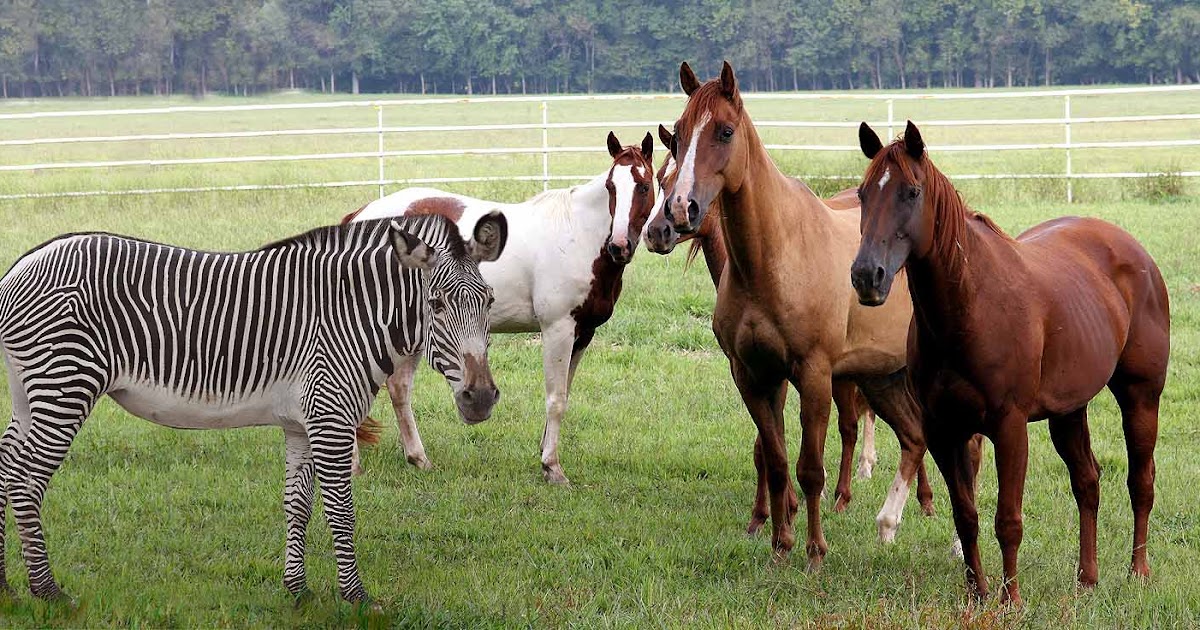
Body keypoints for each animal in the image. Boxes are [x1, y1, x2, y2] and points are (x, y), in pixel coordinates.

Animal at [347, 131, 657, 485]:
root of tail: (360, 217)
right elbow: (555, 399)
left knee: (399, 388)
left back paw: (418, 458)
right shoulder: (558, 329)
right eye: (611, 186)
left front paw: (544, 452)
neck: (579, 233)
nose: (619, 245)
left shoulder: (584, 333)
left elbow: (564, 393)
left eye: (644, 186)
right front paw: (552, 467)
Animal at [659, 61, 931, 566]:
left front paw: (815, 550)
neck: (771, 257)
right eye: (679, 135)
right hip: (883, 377)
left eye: (725, 131)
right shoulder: (752, 375)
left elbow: (810, 469)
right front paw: (779, 542)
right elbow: (776, 458)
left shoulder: (814, 375)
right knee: (916, 437)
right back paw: (891, 525)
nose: (677, 211)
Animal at [851, 121, 1170, 605]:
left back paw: (1138, 571)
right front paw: (978, 595)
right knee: (1088, 482)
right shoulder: (944, 431)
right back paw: (1087, 577)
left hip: (1140, 397)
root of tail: (1136, 252)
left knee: (1141, 481)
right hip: (1068, 412)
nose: (867, 276)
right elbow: (966, 515)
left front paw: (1010, 600)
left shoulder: (1009, 426)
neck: (969, 308)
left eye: (912, 192)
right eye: (863, 193)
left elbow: (1008, 520)